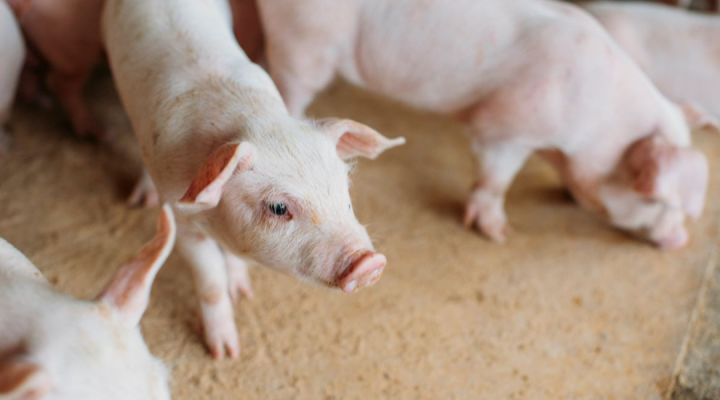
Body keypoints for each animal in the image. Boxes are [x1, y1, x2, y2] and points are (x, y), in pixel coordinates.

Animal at [102, 0, 404, 359]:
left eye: (345, 192)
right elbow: (210, 281)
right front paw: (226, 353)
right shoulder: (184, 221)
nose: (370, 263)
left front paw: (243, 292)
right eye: (278, 208)